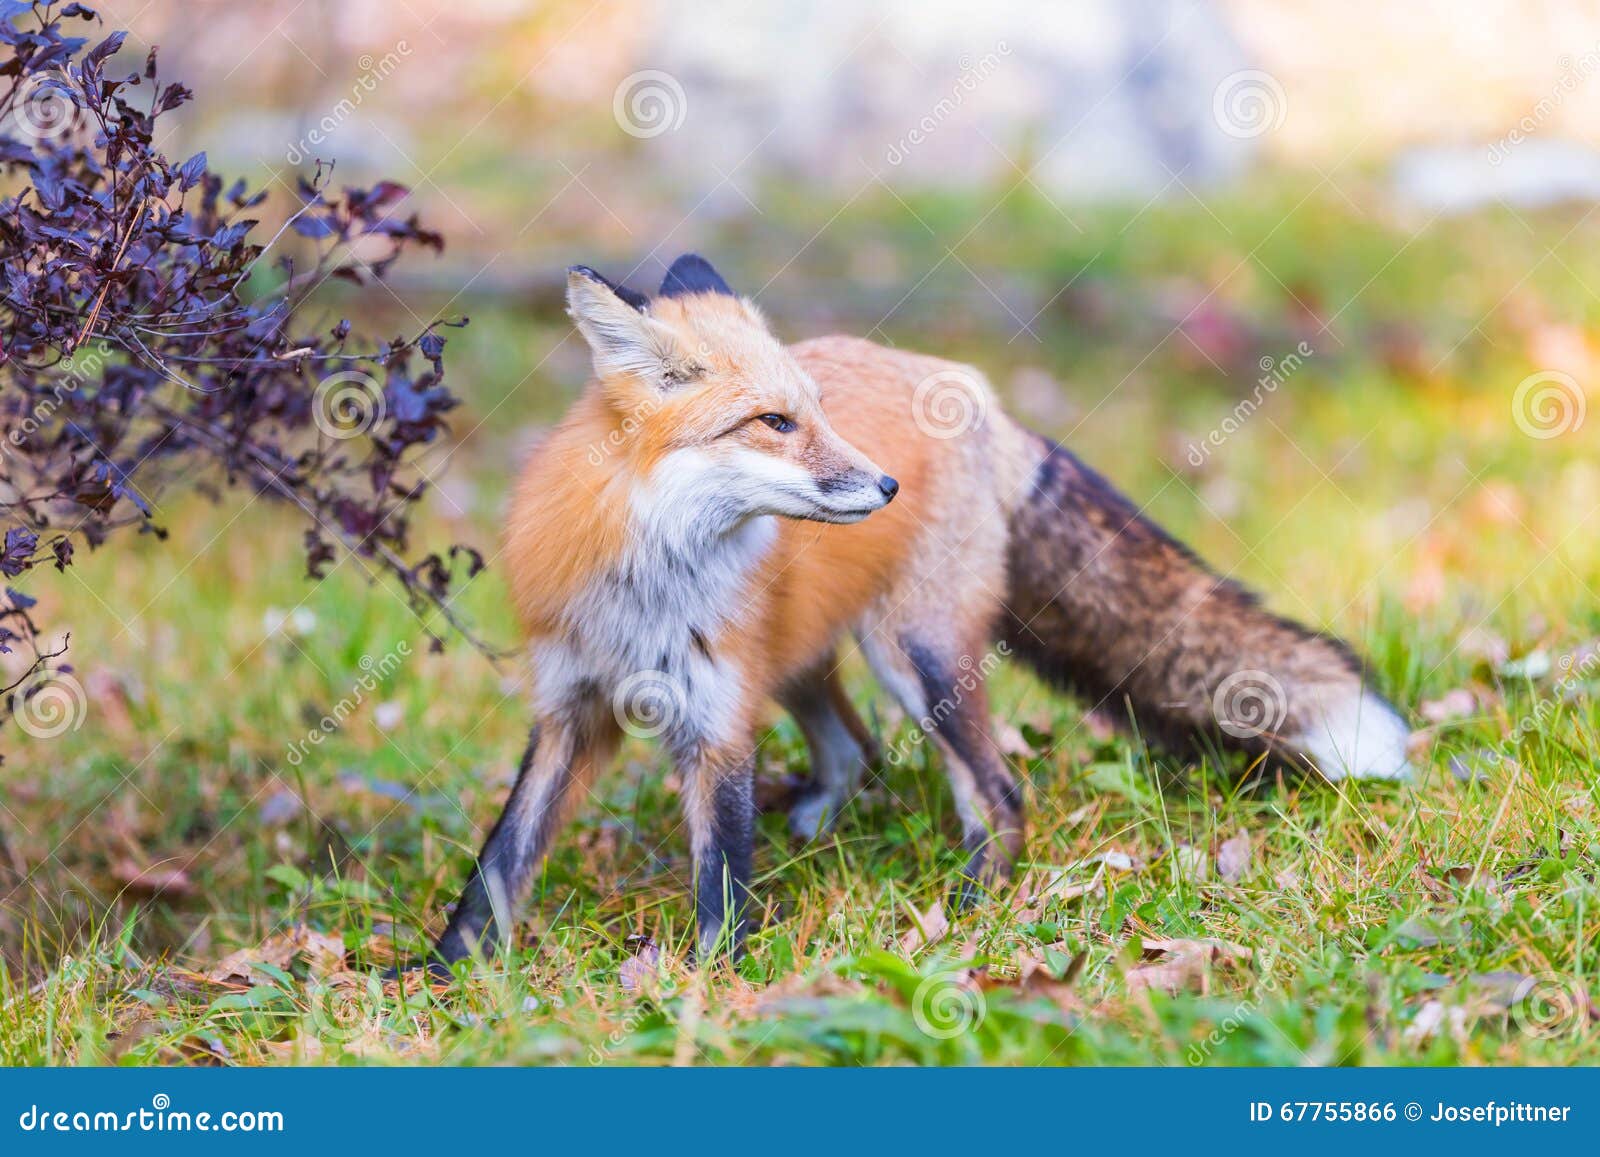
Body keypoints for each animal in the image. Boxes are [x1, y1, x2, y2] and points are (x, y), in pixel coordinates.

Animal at [428, 253, 1412, 967]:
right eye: (775, 422)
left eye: (817, 414)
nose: (887, 484)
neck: (647, 581)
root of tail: (971, 387)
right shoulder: (572, 707)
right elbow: (498, 864)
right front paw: (444, 978)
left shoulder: (718, 721)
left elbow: (722, 886)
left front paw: (709, 991)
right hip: (808, 658)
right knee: (854, 749)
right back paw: (824, 827)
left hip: (916, 656)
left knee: (998, 792)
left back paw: (973, 907)